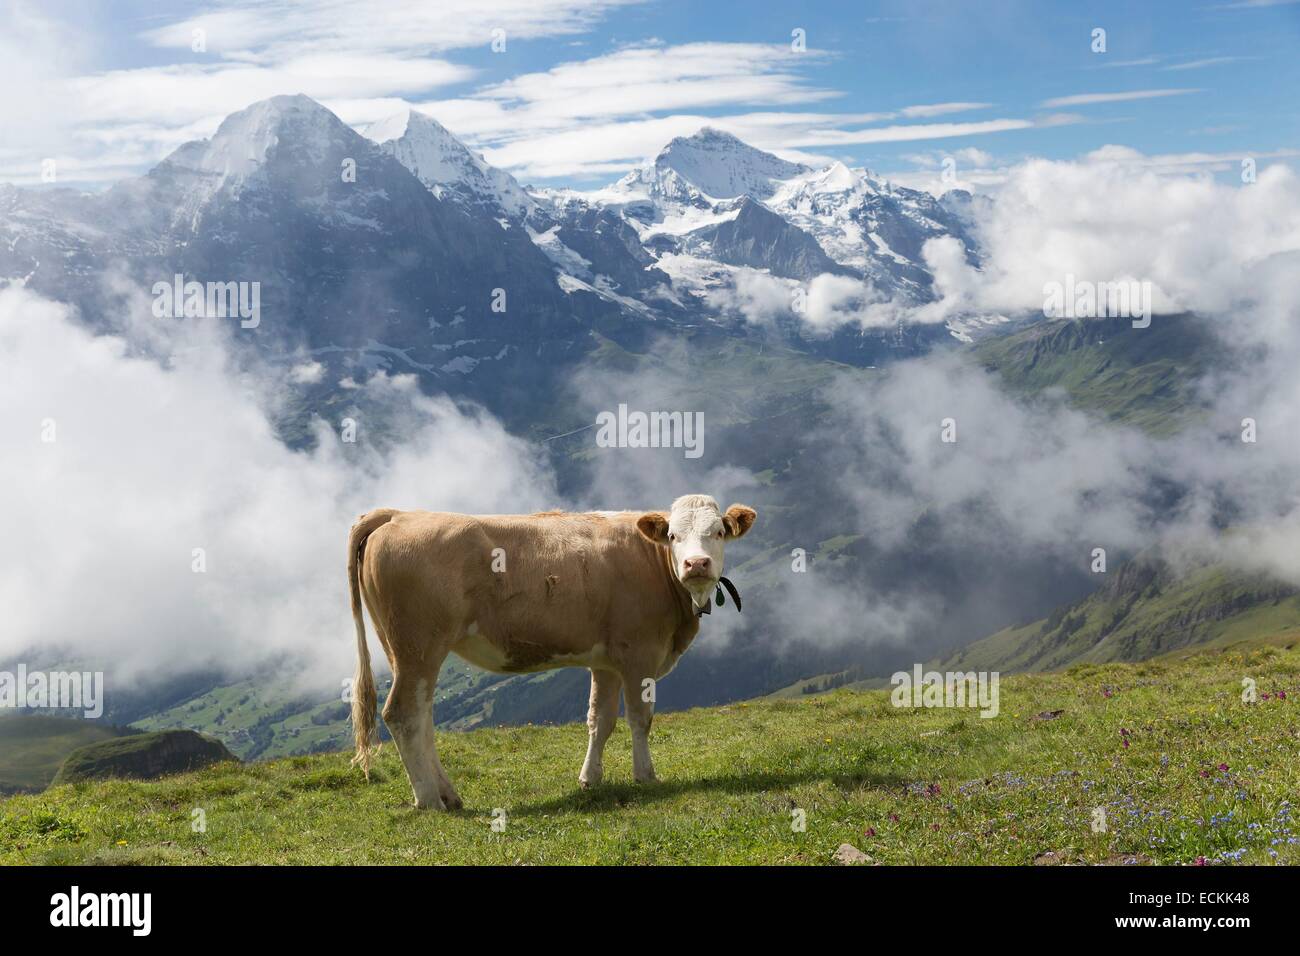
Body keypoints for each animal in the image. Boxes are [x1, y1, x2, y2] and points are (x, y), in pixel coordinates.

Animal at [347, 494, 757, 809]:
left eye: (719, 532)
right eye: (673, 535)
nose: (696, 564)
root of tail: (399, 513)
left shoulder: (606, 662)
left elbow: (600, 720)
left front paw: (591, 779)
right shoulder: (639, 653)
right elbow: (640, 718)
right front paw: (646, 776)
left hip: (403, 650)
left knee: (423, 718)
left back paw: (448, 794)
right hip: (418, 645)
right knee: (403, 714)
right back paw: (430, 800)